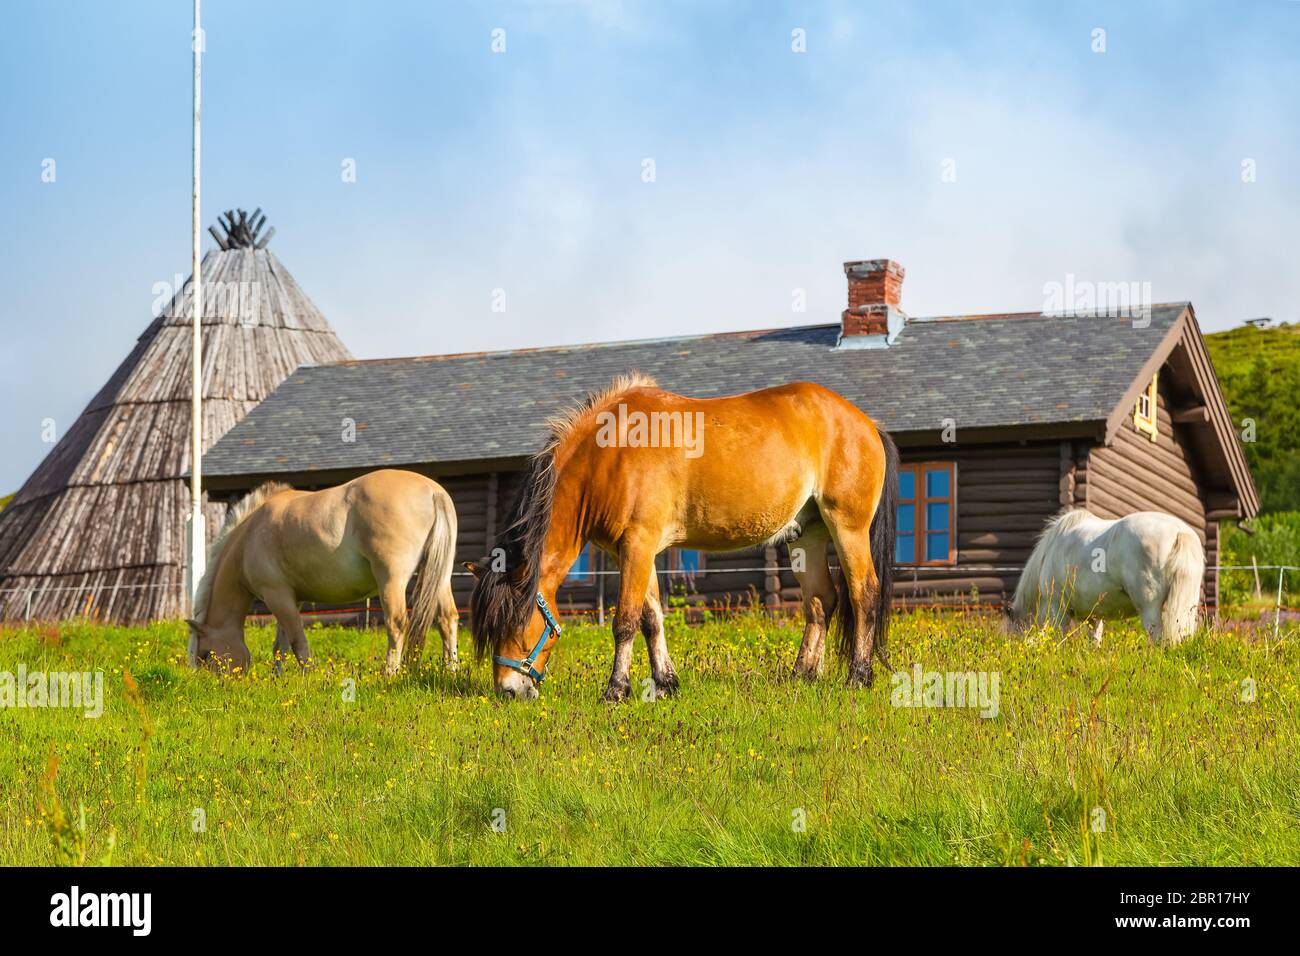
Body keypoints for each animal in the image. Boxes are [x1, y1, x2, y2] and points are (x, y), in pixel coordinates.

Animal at [187, 469, 460, 675]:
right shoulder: (289, 598)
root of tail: (432, 491)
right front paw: (278, 678)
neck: (250, 536)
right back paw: (451, 670)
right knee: (447, 619)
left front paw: (308, 676)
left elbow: (297, 642)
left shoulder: (277, 596)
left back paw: (389, 673)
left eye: (206, 654)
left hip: (391, 581)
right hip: (439, 578)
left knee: (396, 624)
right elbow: (281, 645)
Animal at [465, 373, 897, 701]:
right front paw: (665, 684)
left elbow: (625, 621)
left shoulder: (638, 546)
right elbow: (651, 618)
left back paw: (858, 677)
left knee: (864, 592)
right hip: (806, 534)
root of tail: (867, 424)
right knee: (821, 602)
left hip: (847, 527)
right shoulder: (635, 552)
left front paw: (616, 690)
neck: (610, 453)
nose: (508, 691)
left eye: (515, 623)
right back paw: (801, 675)